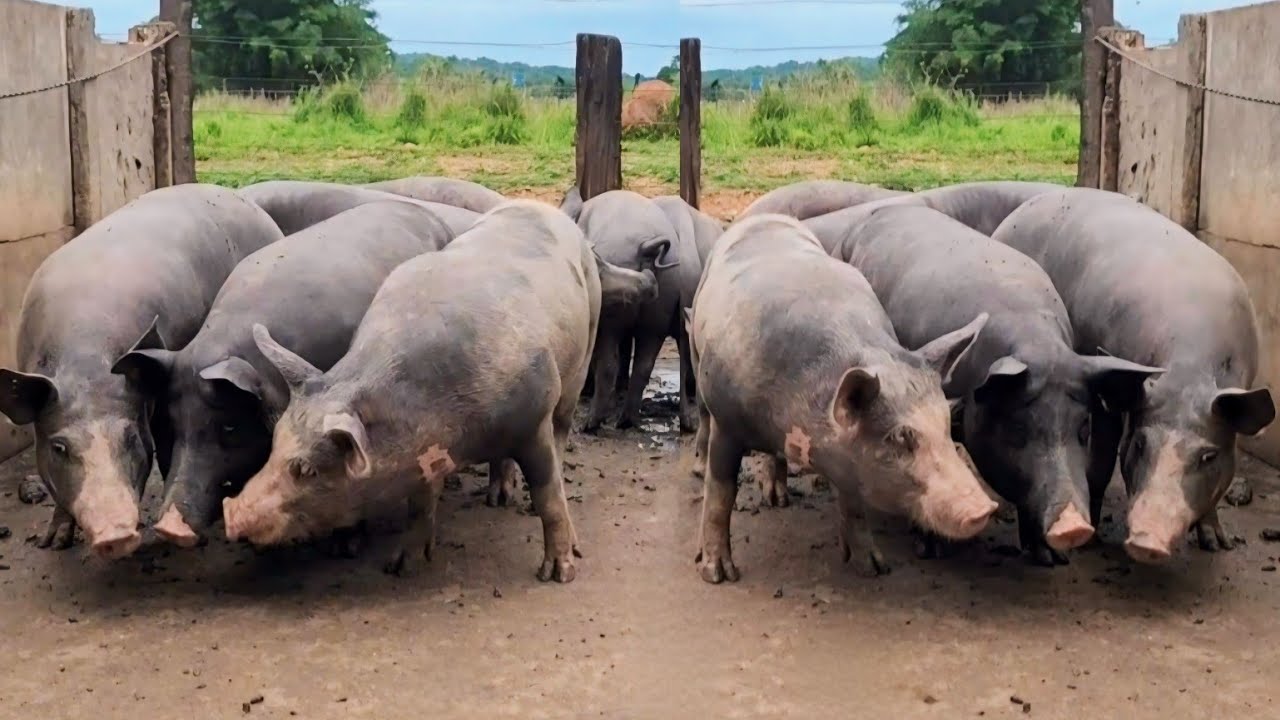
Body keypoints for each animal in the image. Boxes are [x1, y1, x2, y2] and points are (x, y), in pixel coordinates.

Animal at [222, 201, 657, 582]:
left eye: (307, 469)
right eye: (274, 444)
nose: (231, 514)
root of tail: (551, 211)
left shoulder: (533, 422)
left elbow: (548, 497)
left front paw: (559, 574)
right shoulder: (424, 451)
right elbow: (420, 504)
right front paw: (401, 567)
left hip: (582, 352)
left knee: (564, 427)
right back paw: (496, 498)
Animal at [578, 191, 697, 432]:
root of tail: (647, 245)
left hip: (614, 317)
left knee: (609, 363)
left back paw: (591, 423)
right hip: (660, 310)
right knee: (647, 363)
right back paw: (627, 420)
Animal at [688, 213, 997, 582]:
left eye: (947, 425)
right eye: (899, 437)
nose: (984, 508)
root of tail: (766, 216)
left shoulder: (849, 461)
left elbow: (854, 503)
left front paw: (874, 568)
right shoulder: (727, 421)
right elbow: (720, 495)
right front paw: (717, 575)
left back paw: (778, 499)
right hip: (697, 351)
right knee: (703, 418)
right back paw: (705, 472)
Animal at [815, 204, 1163, 565]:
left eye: (1083, 429)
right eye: (1019, 428)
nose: (1073, 529)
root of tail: (881, 211)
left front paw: (1050, 560)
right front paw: (931, 550)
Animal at [992, 188, 1276, 563]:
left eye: (1208, 456)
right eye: (1141, 443)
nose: (1147, 542)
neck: (1188, 373)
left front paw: (1217, 545)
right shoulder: (1106, 389)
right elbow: (1100, 461)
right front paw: (1091, 539)